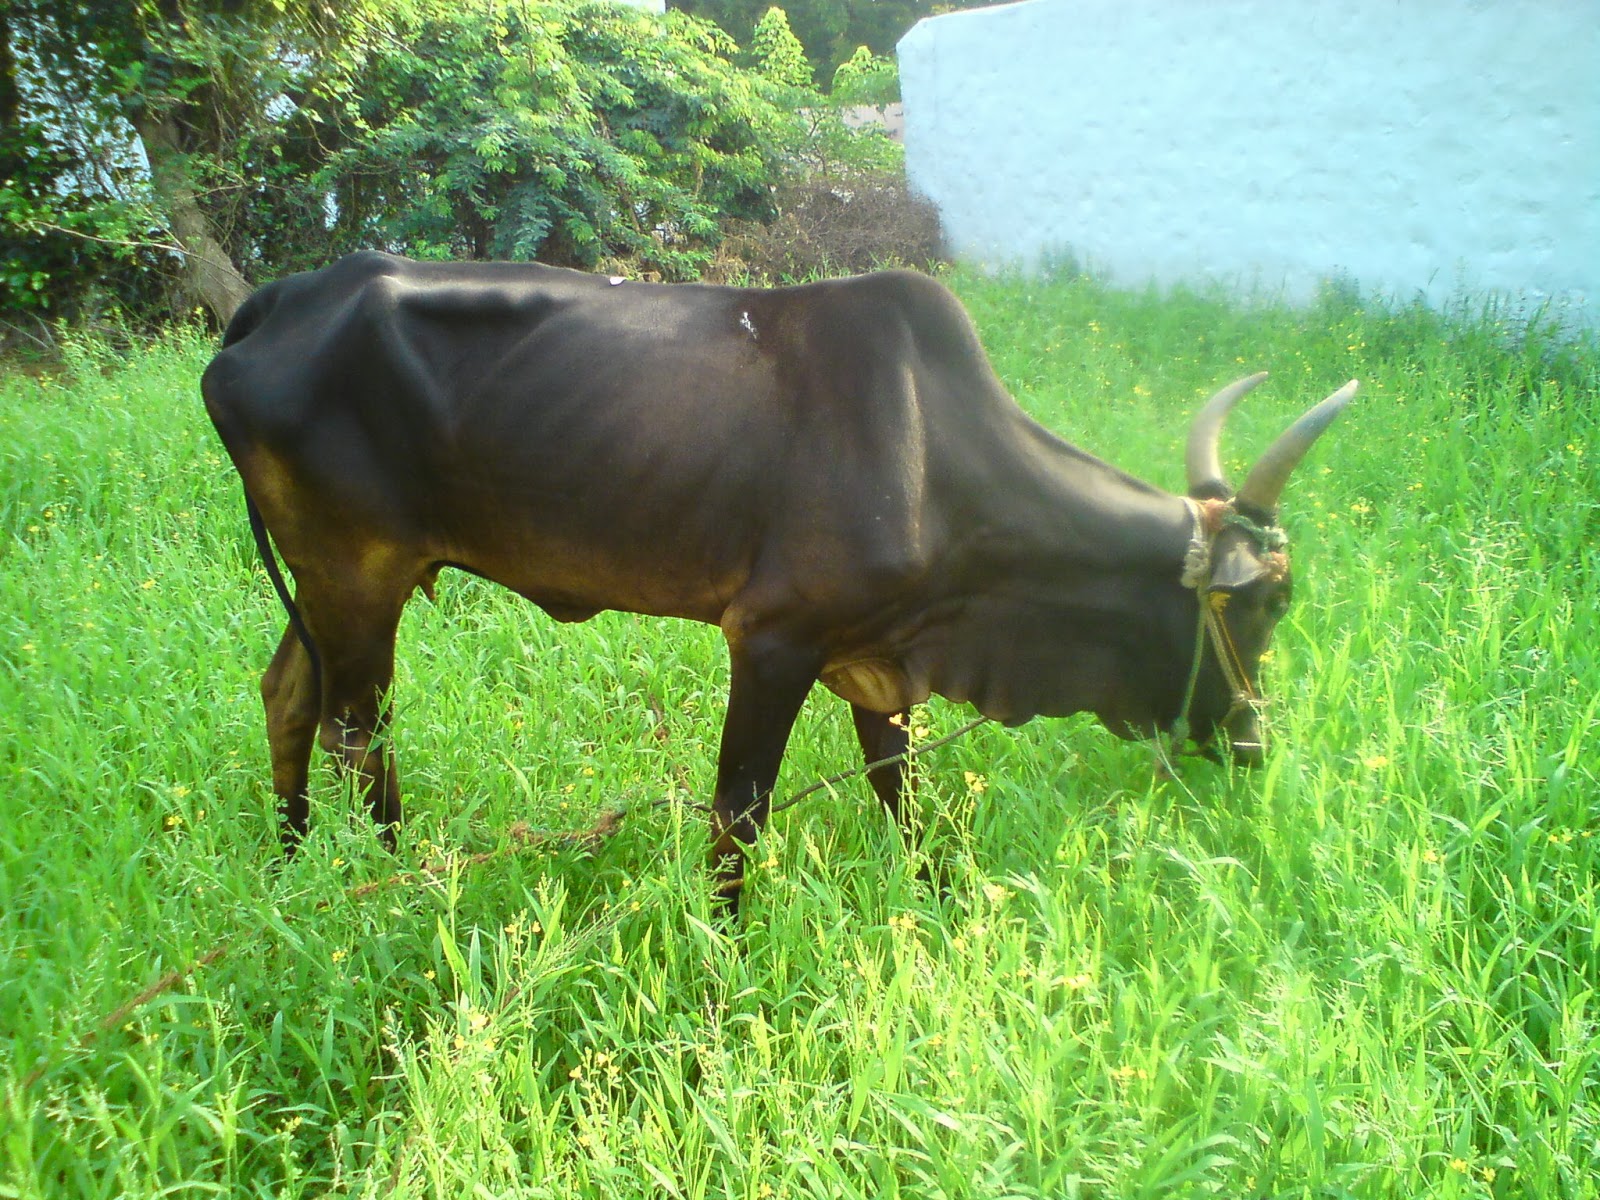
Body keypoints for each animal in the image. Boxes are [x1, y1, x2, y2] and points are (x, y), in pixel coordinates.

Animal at [202, 250, 1355, 909]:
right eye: (1267, 603)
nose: (1252, 744)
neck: (937, 454)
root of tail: (287, 297)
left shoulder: (880, 658)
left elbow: (905, 794)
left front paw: (942, 905)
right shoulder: (772, 640)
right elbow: (739, 815)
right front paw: (723, 948)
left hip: (332, 579)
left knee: (290, 696)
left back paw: (290, 865)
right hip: (358, 572)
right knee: (359, 729)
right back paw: (393, 884)